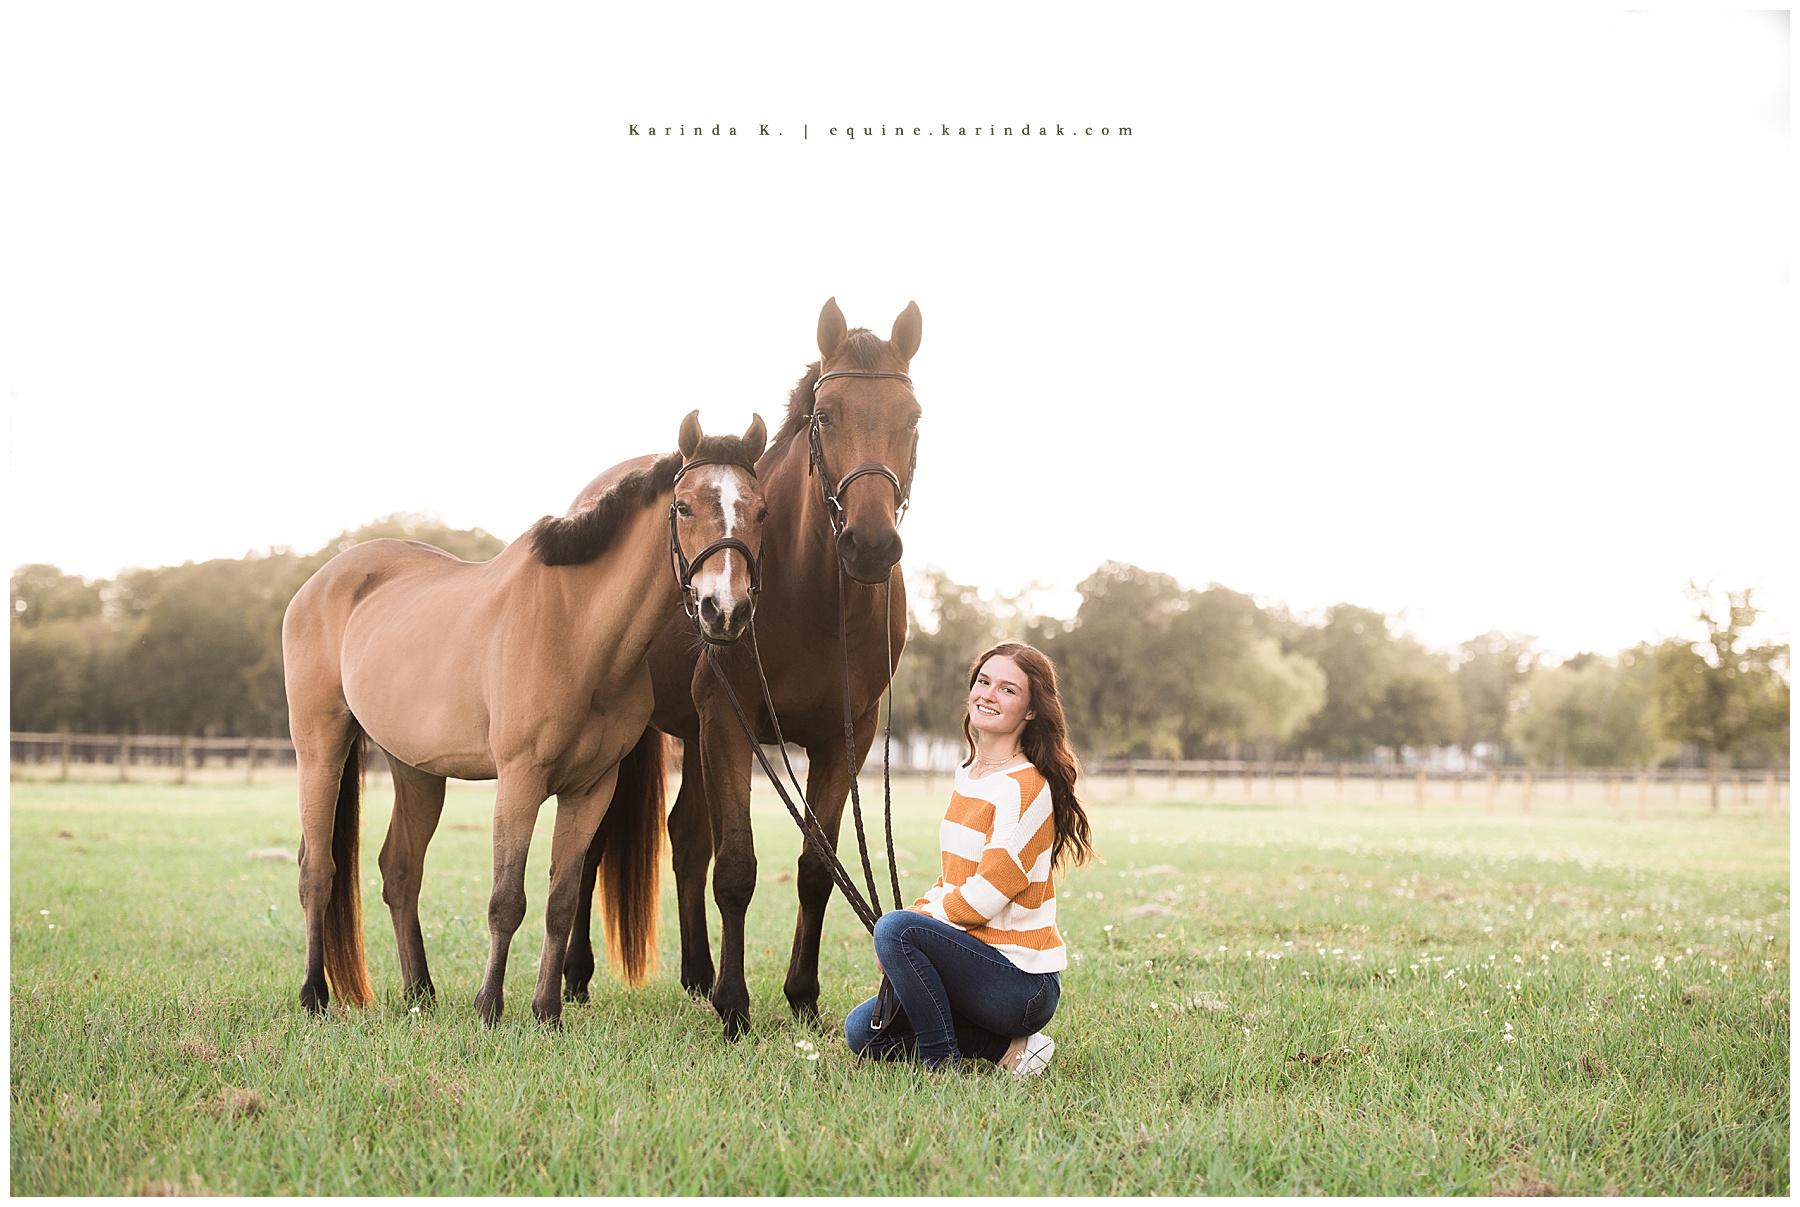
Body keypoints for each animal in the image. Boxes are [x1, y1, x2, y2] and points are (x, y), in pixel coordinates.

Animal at [280, 411, 768, 1029]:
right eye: (683, 507)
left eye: (761, 512)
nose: (725, 612)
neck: (578, 630)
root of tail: (321, 581)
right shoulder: (519, 780)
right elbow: (507, 899)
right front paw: (489, 1006)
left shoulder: (591, 789)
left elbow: (562, 898)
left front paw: (547, 1010)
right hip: (321, 747)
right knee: (316, 872)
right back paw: (313, 994)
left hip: (416, 770)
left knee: (400, 870)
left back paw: (420, 991)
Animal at [565, 298, 921, 1038]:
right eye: (825, 415)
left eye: (913, 417)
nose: (871, 544)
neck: (816, 595)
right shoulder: (731, 722)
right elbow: (735, 865)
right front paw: (735, 1004)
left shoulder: (844, 737)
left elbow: (815, 866)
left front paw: (801, 993)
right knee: (595, 842)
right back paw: (579, 974)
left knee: (685, 836)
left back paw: (697, 974)